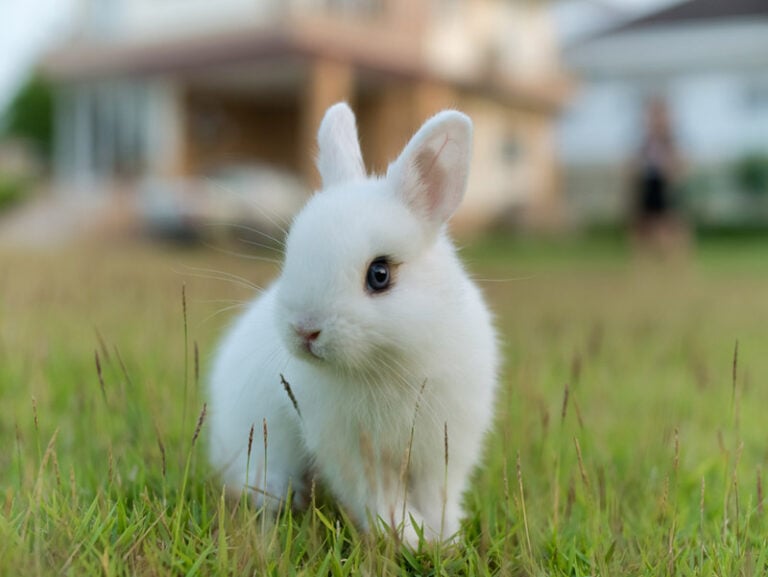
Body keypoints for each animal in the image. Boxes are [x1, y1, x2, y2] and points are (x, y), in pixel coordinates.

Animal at [208, 102, 499, 546]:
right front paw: (408, 537)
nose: (305, 330)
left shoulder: (445, 447)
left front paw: (443, 538)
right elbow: (379, 497)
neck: (388, 364)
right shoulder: (353, 453)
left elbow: (438, 494)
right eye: (291, 255)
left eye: (379, 274)